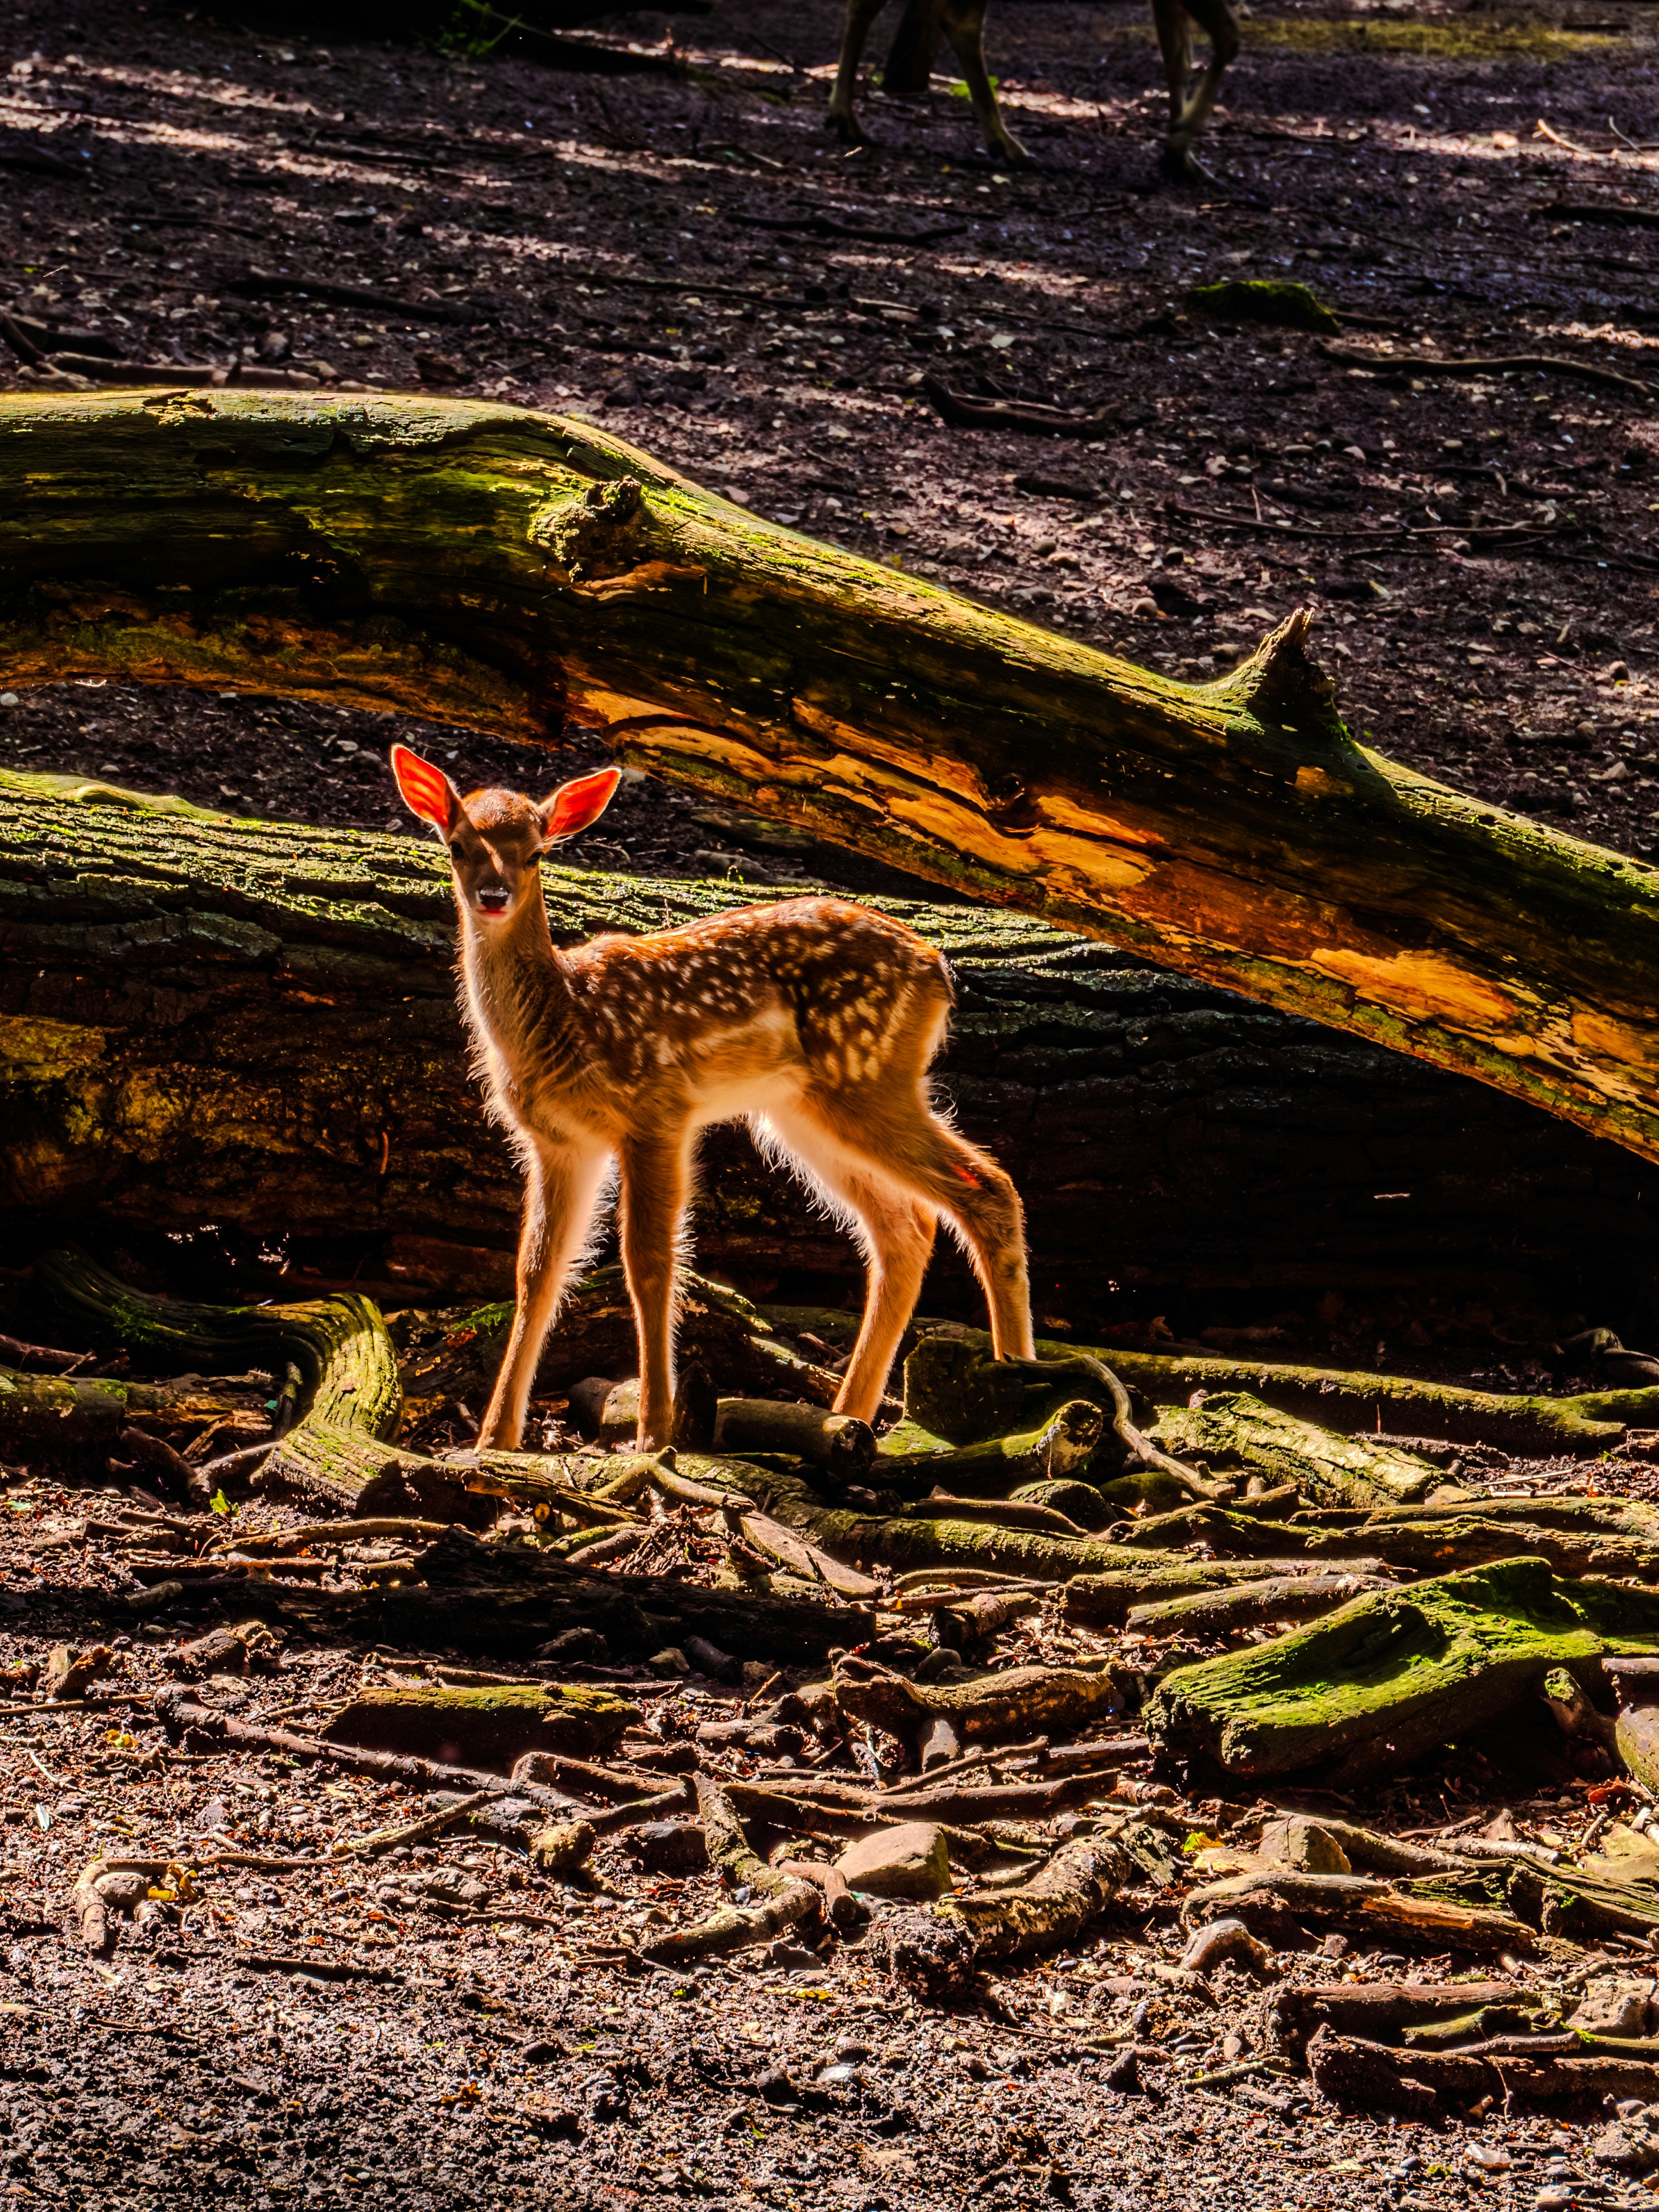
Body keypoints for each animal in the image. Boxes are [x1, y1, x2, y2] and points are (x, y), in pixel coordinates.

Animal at [390, 743, 1035, 1455]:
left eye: (536, 852)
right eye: (456, 846)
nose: (494, 896)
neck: (565, 1016)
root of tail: (937, 969)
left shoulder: (656, 1110)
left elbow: (648, 1262)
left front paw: (653, 1430)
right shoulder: (559, 1142)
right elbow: (537, 1271)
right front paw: (494, 1438)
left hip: (867, 1078)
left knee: (987, 1186)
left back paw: (1015, 1380)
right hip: (802, 1114)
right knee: (907, 1228)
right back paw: (848, 1417)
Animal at [827, 0, 1239, 184]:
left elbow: (1179, 60)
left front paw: (1181, 156)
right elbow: (1226, 41)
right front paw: (1178, 143)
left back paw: (844, 118)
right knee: (960, 21)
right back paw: (1007, 144)